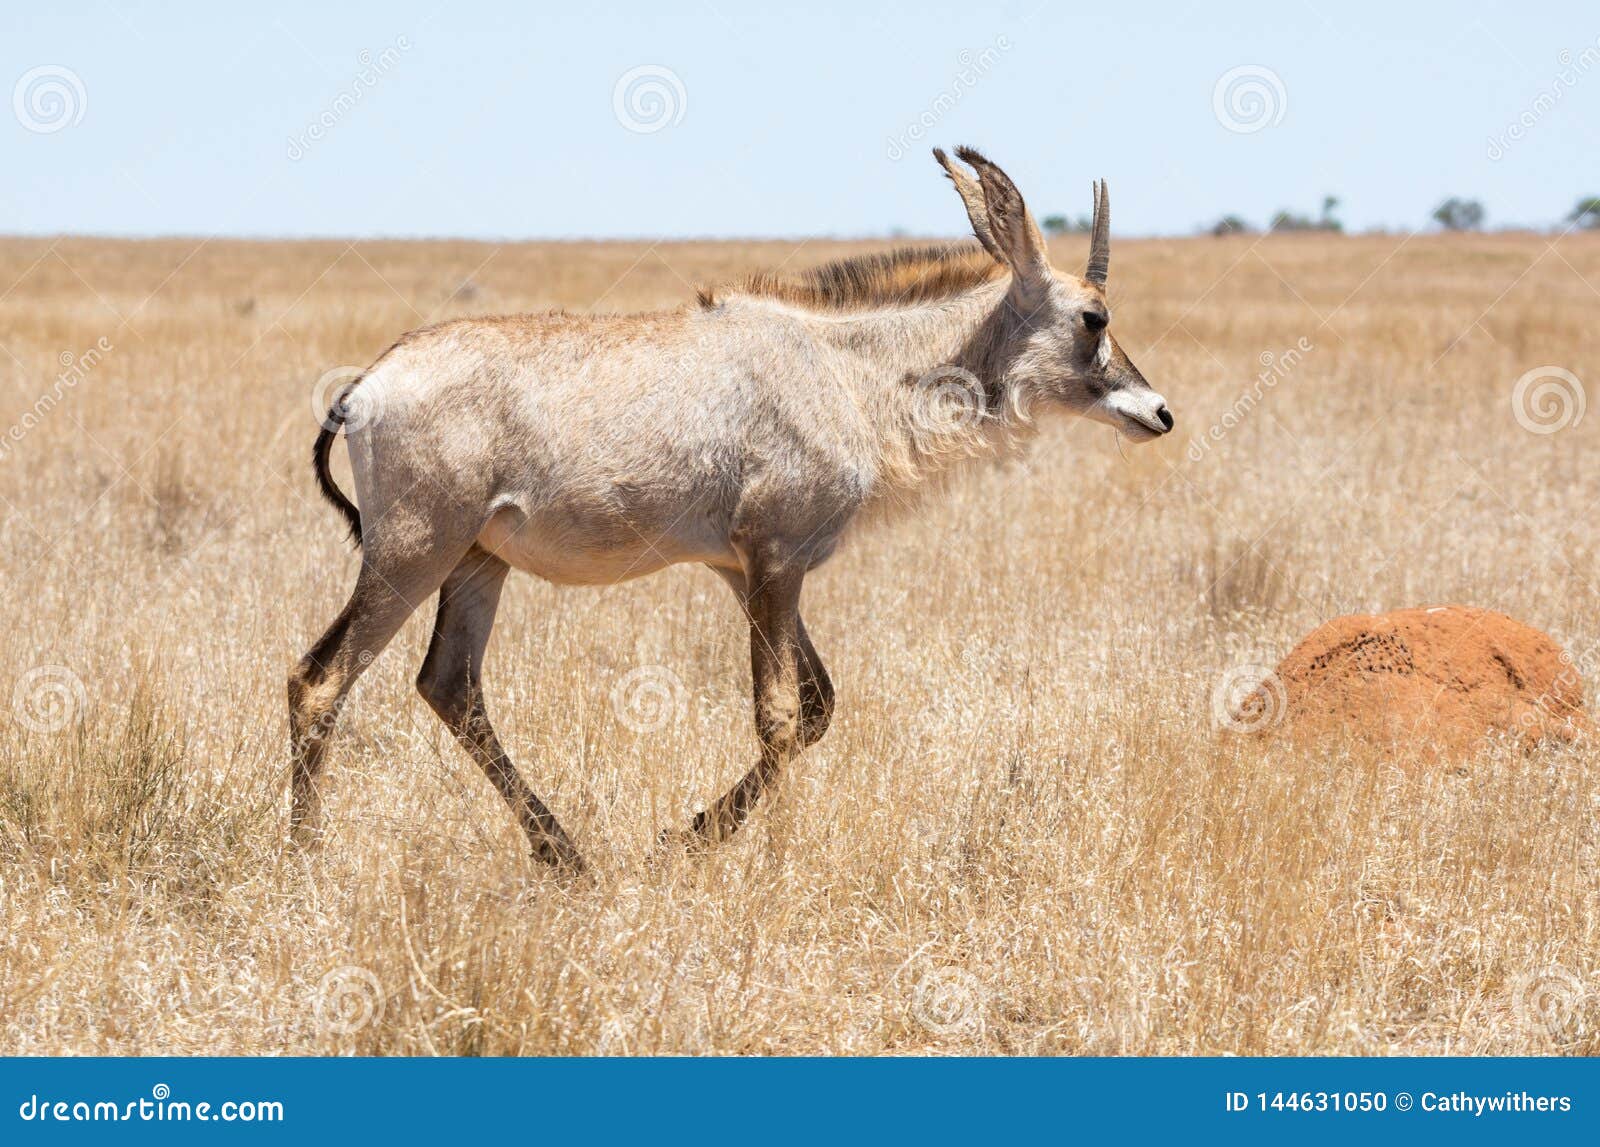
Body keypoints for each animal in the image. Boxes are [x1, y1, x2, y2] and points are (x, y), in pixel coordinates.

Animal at [288, 147, 1173, 871]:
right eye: (1094, 317)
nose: (1159, 412)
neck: (845, 368)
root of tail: (370, 381)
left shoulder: (745, 570)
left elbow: (817, 706)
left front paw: (686, 833)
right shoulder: (774, 561)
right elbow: (779, 717)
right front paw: (728, 848)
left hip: (477, 562)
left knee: (450, 685)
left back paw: (563, 853)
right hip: (413, 552)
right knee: (319, 680)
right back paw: (306, 857)